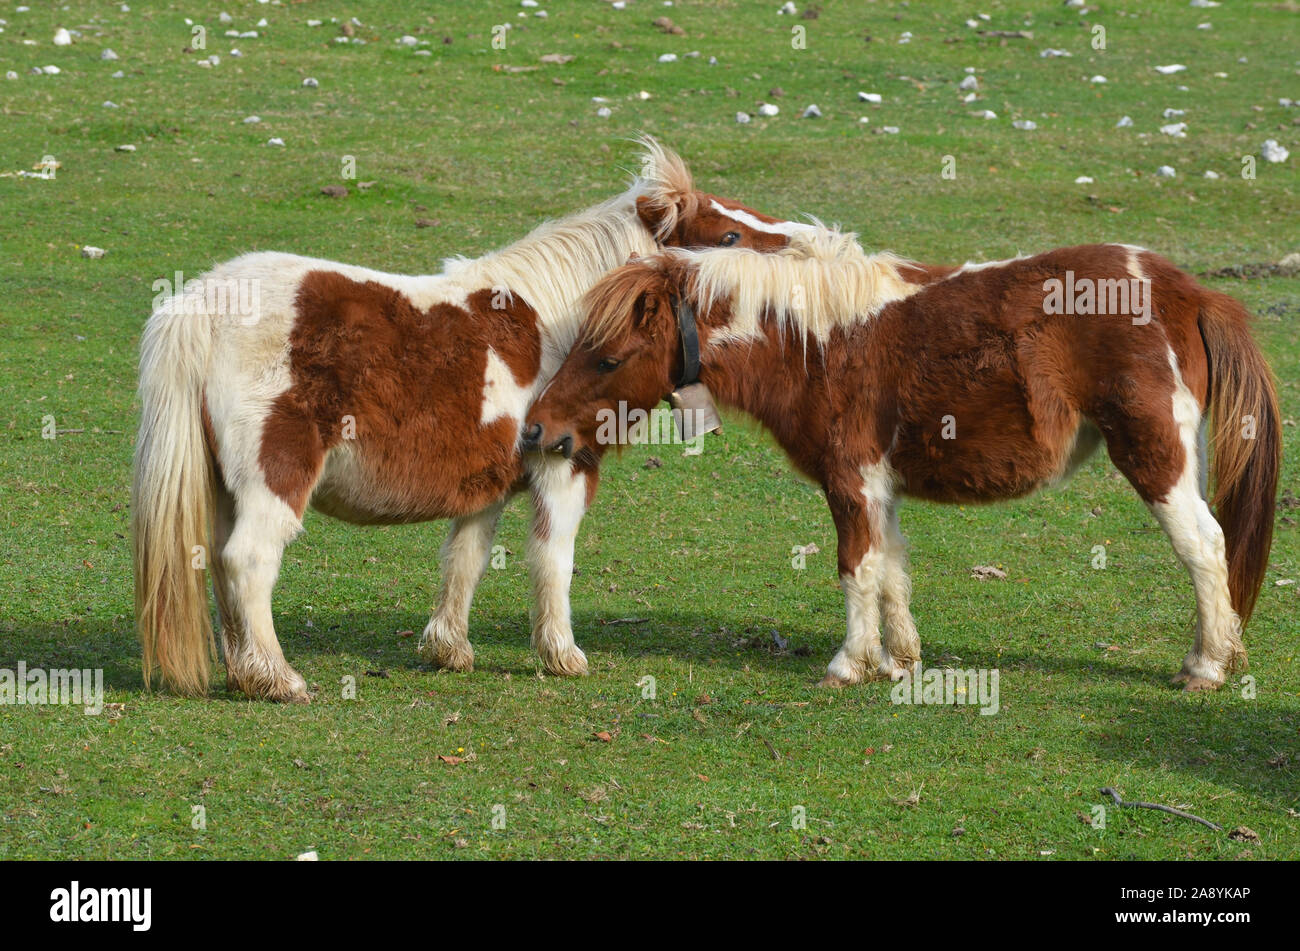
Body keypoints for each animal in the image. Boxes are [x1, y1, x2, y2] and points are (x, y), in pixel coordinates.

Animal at [132, 137, 824, 701]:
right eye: (727, 236)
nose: (812, 245)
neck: (570, 327)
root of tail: (202, 303)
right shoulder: (562, 464)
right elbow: (552, 558)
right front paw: (562, 656)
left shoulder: (485, 483)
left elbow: (465, 557)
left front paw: (450, 650)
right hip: (274, 478)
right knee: (247, 562)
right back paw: (278, 680)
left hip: (224, 489)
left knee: (218, 568)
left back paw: (245, 672)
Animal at [524, 229, 1281, 692]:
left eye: (607, 357)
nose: (537, 429)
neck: (814, 343)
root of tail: (1189, 291)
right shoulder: (877, 487)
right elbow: (890, 569)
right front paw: (898, 660)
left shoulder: (850, 481)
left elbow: (856, 566)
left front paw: (849, 663)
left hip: (1157, 457)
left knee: (1204, 547)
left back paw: (1207, 665)